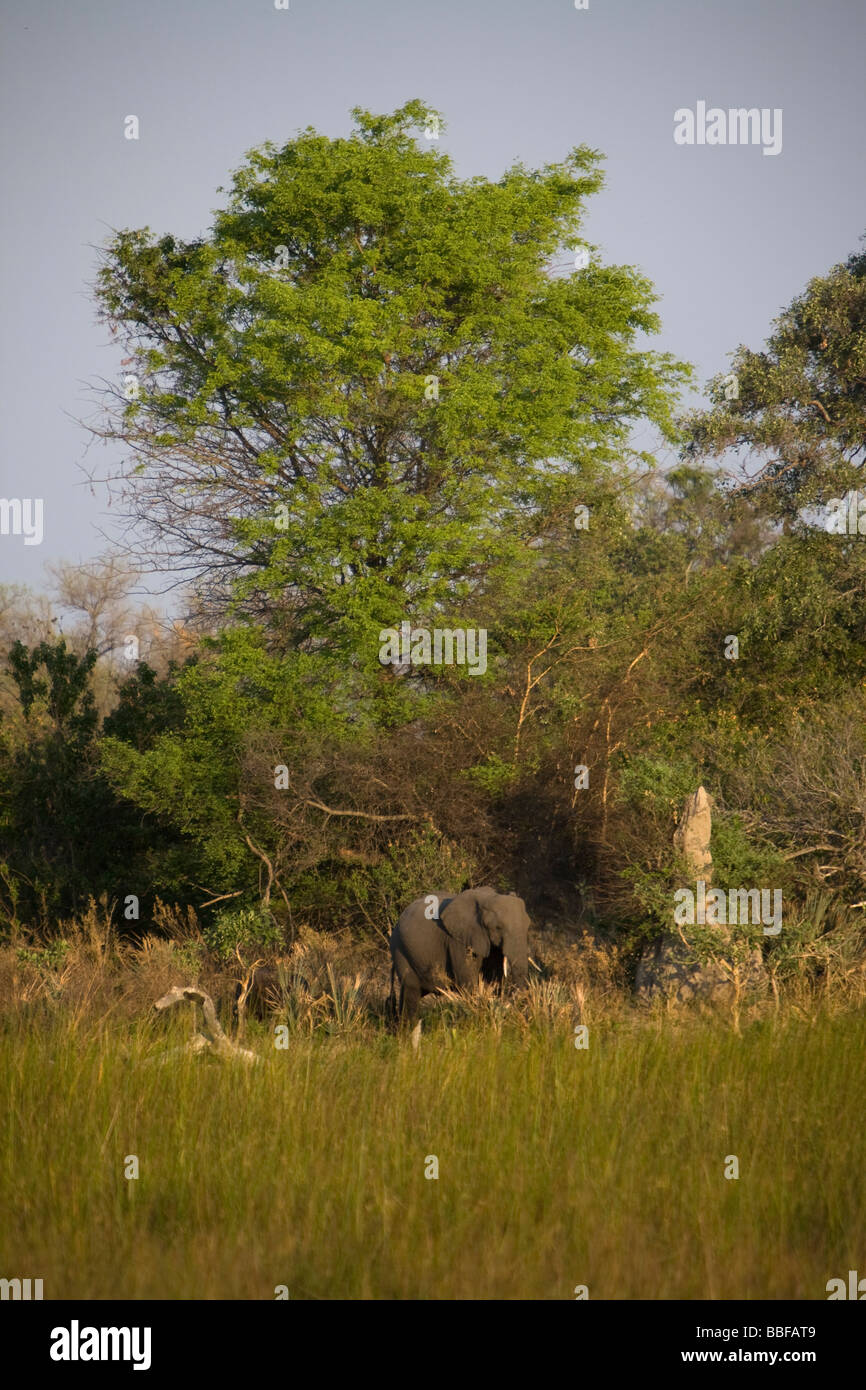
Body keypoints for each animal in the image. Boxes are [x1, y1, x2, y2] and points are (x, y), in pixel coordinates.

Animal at [388, 887, 531, 1024]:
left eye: (528, 926)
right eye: (498, 927)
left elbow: (492, 977)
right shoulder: (457, 940)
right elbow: (466, 976)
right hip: (400, 950)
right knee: (411, 993)